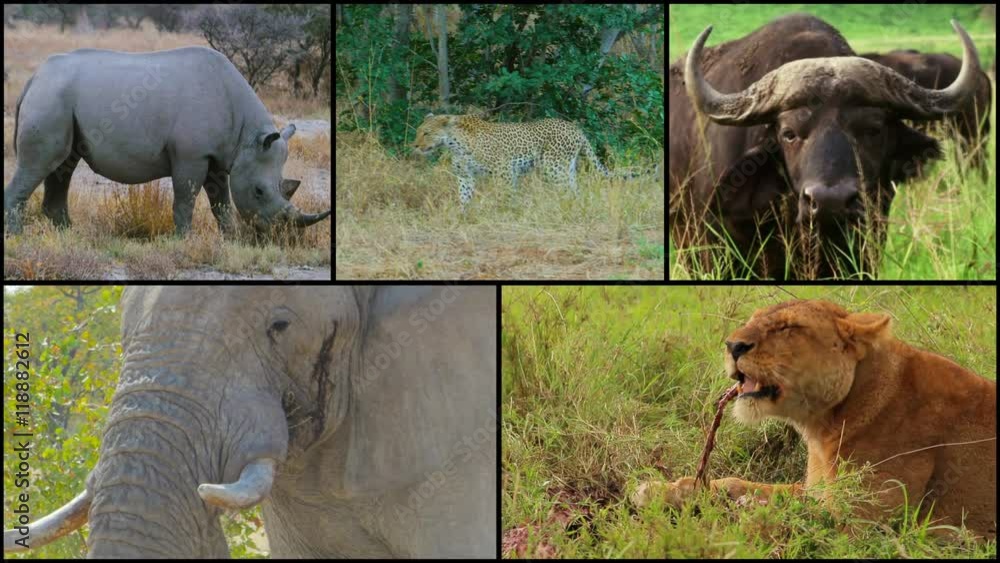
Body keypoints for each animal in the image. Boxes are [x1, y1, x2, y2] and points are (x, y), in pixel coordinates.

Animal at [632, 299, 996, 539]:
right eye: (753, 319)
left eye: (788, 327)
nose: (732, 345)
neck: (824, 426)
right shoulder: (813, 490)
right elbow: (739, 484)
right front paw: (665, 490)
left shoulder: (866, 526)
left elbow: (782, 518)